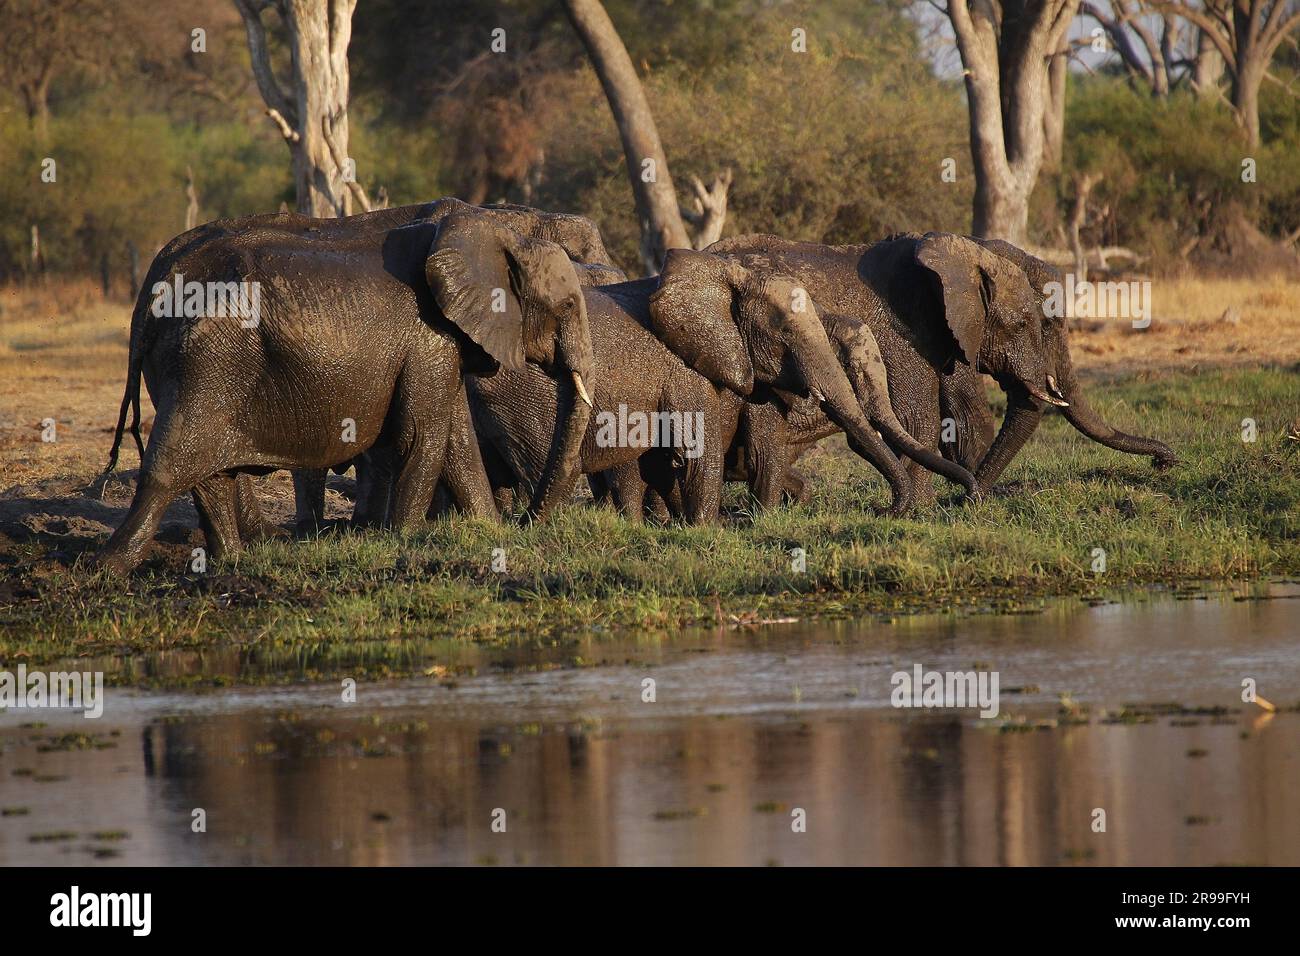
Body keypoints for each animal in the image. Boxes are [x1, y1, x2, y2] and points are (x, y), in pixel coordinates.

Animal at [94, 204, 595, 572]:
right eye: (569, 305)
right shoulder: (428, 338)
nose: (527, 524)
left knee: (210, 474)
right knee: (169, 465)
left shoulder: (444, 343)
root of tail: (151, 291)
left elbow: (456, 439)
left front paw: (488, 533)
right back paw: (107, 570)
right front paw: (405, 540)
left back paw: (233, 563)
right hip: (208, 361)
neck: (503, 234)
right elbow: (422, 435)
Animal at [705, 232, 1176, 501]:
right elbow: (923, 417)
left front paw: (977, 496)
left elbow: (963, 418)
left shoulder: (951, 333)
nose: (1165, 462)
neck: (963, 252)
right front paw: (924, 510)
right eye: (1031, 324)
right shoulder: (906, 331)